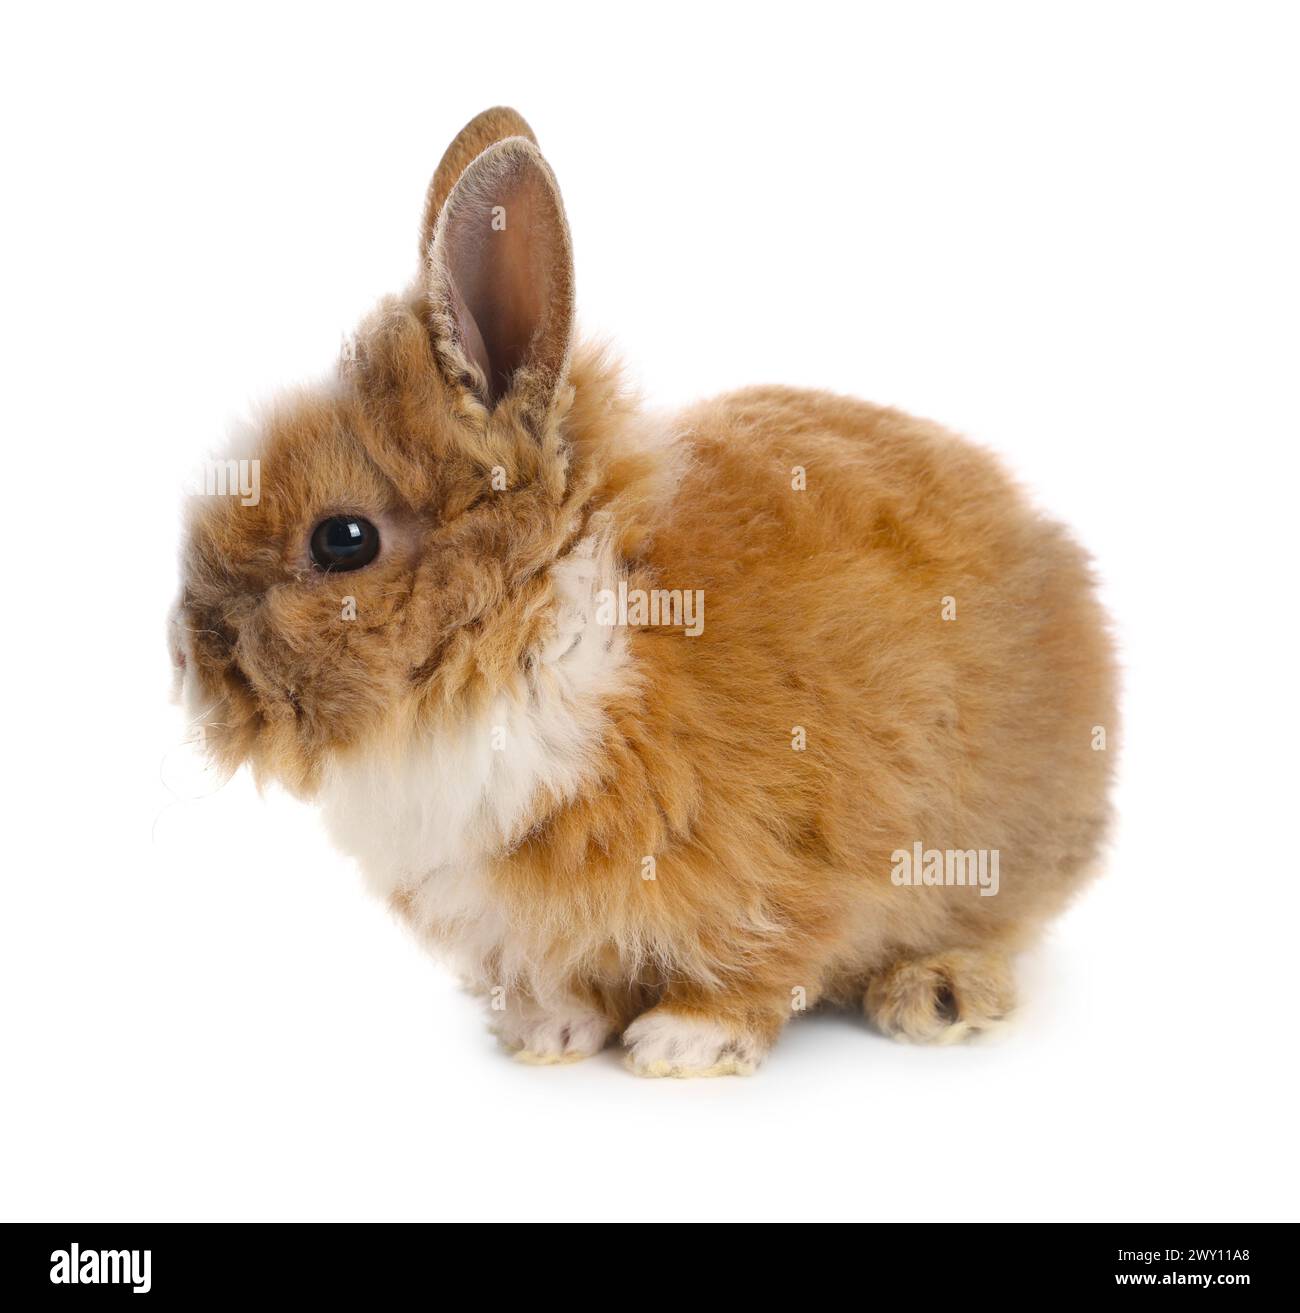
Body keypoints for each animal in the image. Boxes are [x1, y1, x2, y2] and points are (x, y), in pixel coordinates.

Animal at [171, 106, 1117, 1077]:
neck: (535, 634)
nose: (192, 655)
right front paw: (548, 1034)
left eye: (343, 539)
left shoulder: (791, 858)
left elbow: (758, 956)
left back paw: (936, 994)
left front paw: (680, 1045)